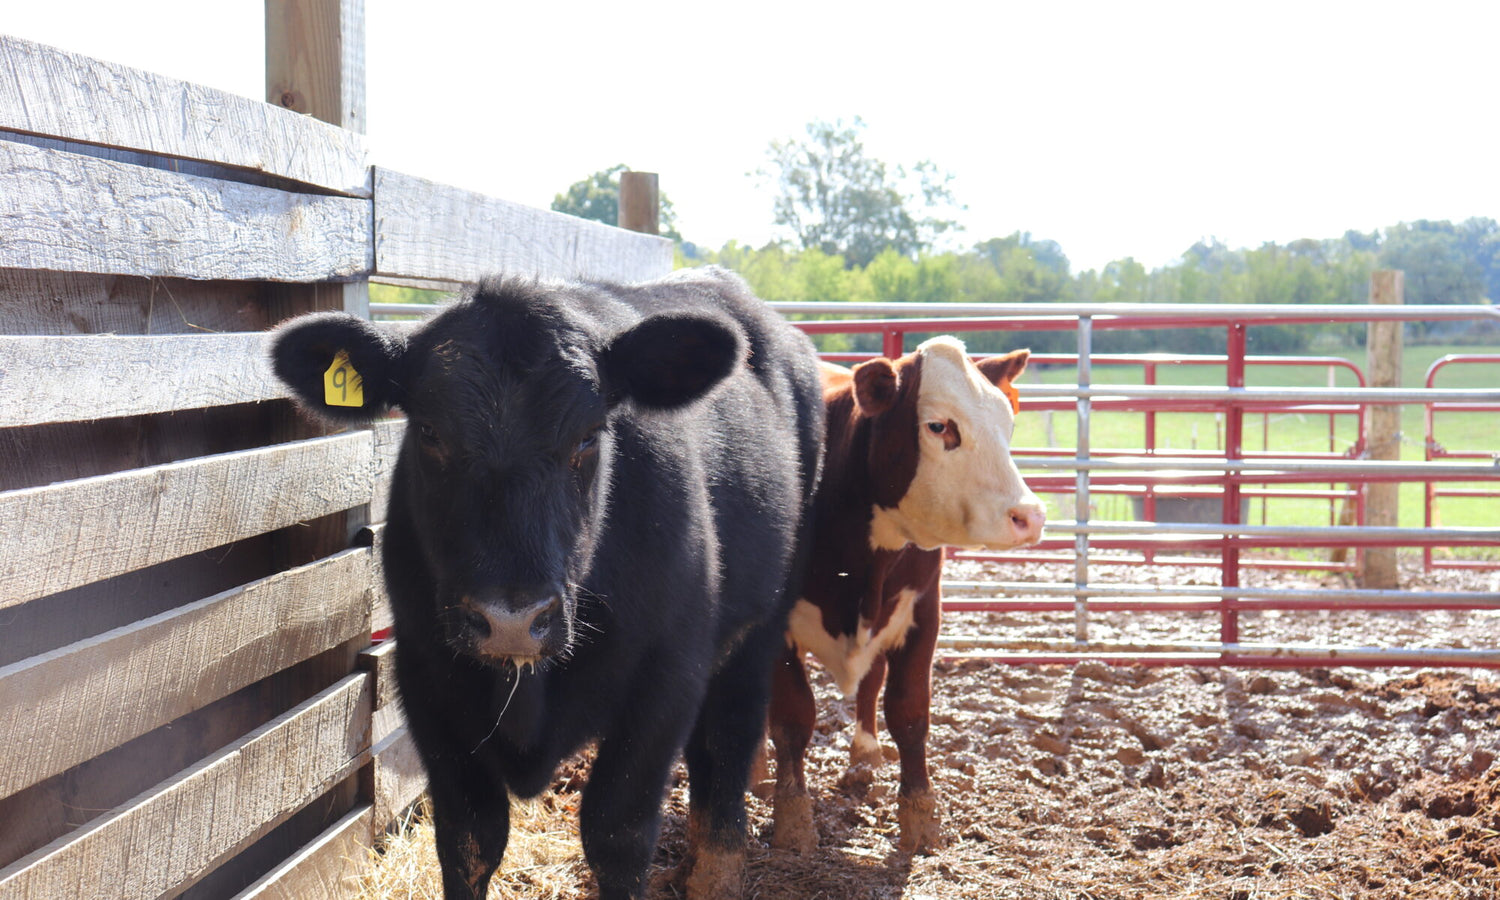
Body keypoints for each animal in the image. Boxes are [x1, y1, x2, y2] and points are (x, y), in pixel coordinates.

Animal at [269, 267, 824, 900]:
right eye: (430, 432)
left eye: (589, 435)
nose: (510, 621)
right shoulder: (426, 677)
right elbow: (469, 838)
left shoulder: (667, 674)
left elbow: (617, 831)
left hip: (763, 626)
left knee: (726, 750)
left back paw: (716, 873)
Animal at [767, 336, 1043, 855]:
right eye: (938, 426)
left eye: (1008, 421)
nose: (1030, 517)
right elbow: (793, 717)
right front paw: (792, 822)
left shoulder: (922, 613)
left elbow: (909, 712)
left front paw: (920, 819)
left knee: (871, 683)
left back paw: (864, 757)